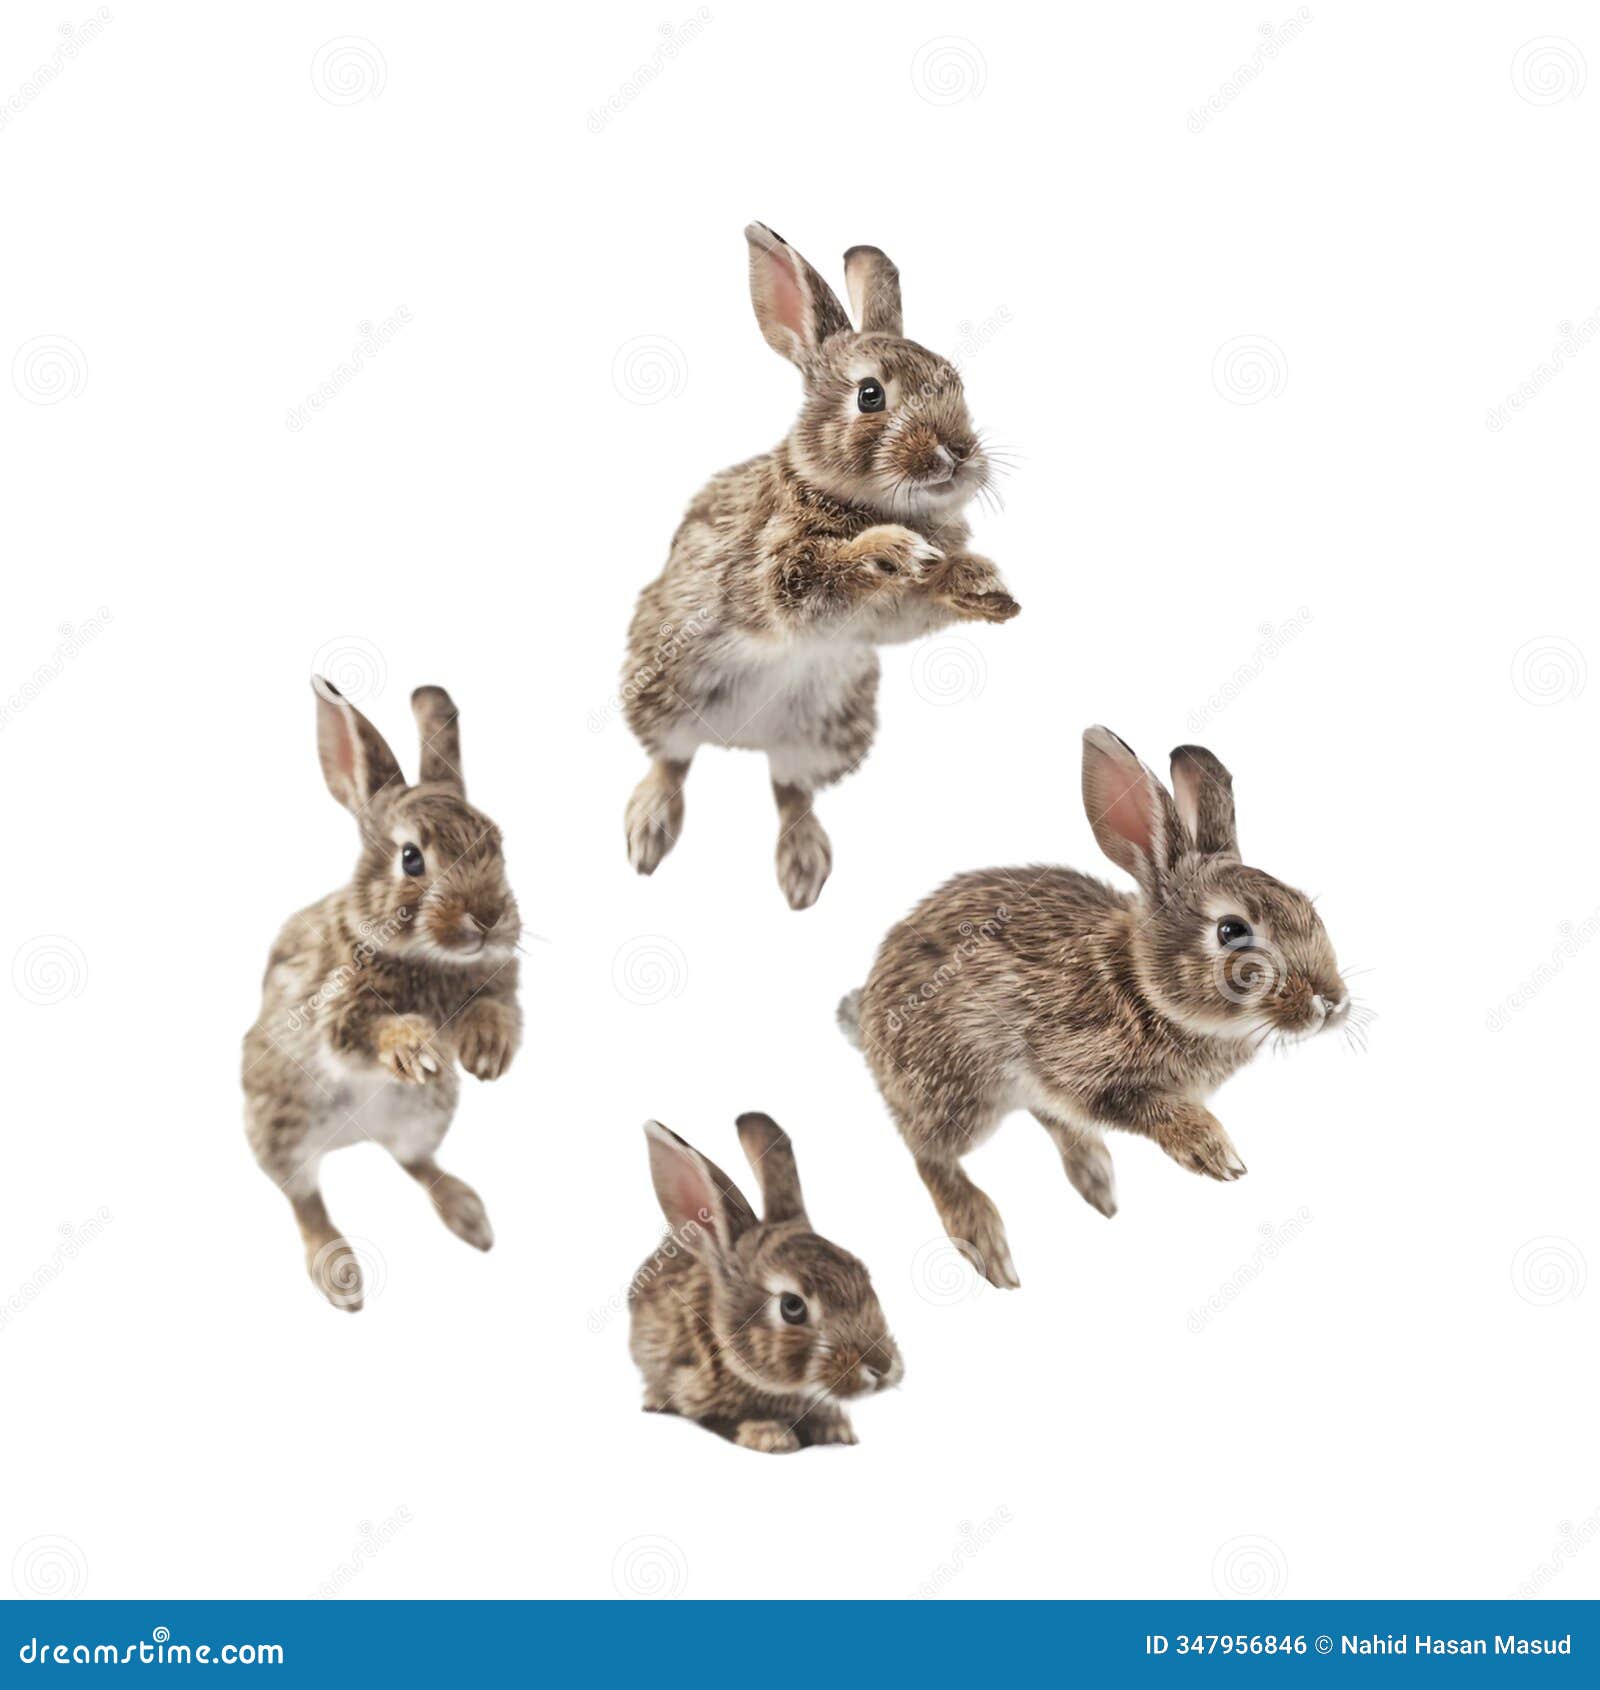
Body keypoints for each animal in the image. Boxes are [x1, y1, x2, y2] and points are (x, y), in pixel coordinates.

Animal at [241, 677, 522, 1310]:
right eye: (411, 858)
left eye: (496, 841)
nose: (488, 918)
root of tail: (353, 1140)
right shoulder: (331, 1011)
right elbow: (363, 1032)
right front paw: (414, 1048)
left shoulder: (499, 985)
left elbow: (497, 1009)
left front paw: (486, 1052)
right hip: (278, 1126)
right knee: (304, 1198)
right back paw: (338, 1273)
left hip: (427, 1115)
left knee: (415, 1163)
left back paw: (471, 1217)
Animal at [622, 221, 1019, 910]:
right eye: (870, 395)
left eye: (955, 382)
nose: (958, 454)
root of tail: (741, 742)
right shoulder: (775, 572)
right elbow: (815, 579)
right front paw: (893, 550)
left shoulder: (874, 631)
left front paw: (984, 589)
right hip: (661, 688)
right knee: (672, 759)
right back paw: (648, 832)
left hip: (830, 729)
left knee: (791, 789)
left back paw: (802, 871)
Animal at [840, 726, 1355, 1289]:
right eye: (1232, 931)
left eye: (1307, 906)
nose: (1331, 1002)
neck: (1142, 984)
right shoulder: (1075, 1062)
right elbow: (1143, 1106)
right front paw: (1213, 1152)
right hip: (957, 1086)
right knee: (930, 1155)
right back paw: (986, 1241)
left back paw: (1096, 1180)